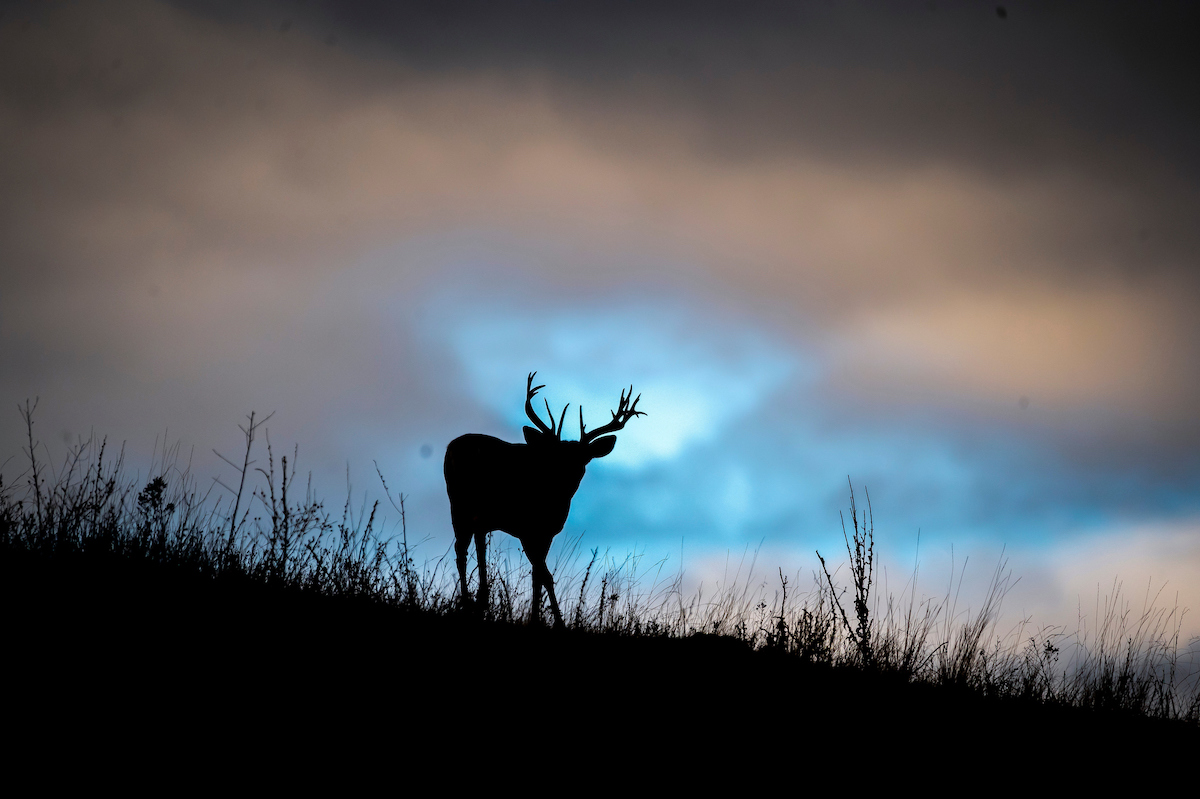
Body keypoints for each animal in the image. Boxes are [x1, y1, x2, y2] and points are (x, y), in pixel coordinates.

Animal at [444, 372, 645, 629]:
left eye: (585, 457)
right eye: (556, 455)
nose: (567, 476)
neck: (552, 504)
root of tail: (452, 446)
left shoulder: (546, 533)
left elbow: (537, 576)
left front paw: (536, 618)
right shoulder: (526, 528)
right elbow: (545, 575)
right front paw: (558, 622)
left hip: (477, 513)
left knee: (475, 545)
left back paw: (480, 601)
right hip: (459, 504)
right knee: (462, 550)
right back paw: (470, 604)